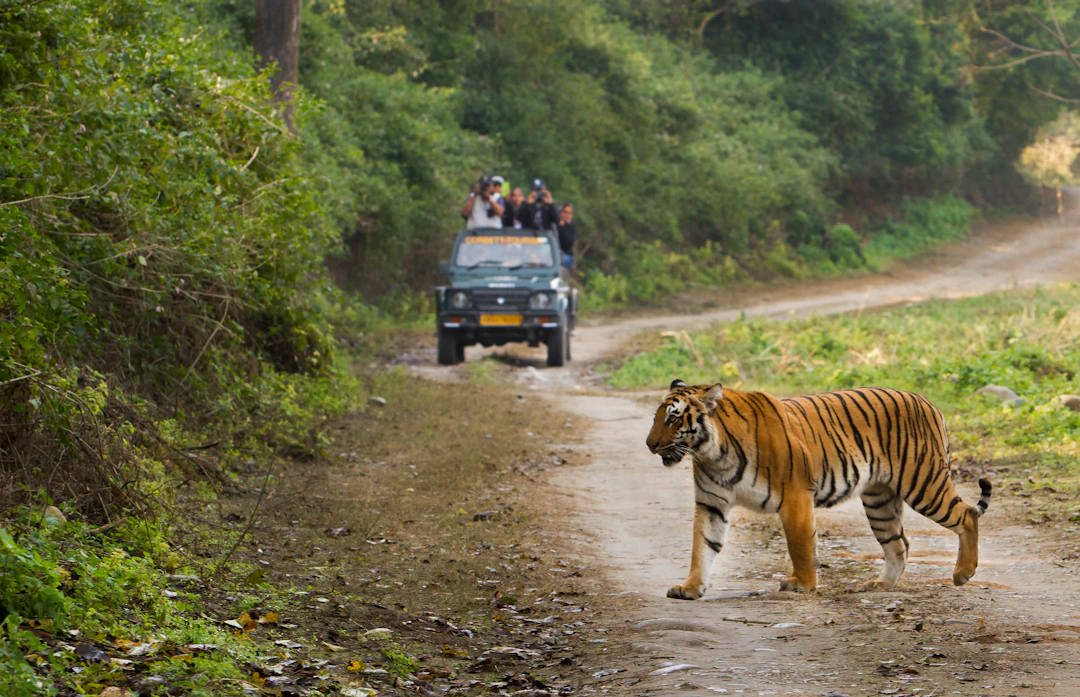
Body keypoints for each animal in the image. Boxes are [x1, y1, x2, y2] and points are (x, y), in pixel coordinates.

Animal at [645, 380, 992, 599]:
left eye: (674, 418)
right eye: (656, 418)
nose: (649, 444)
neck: (712, 453)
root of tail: (928, 402)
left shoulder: (795, 495)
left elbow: (800, 544)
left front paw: (802, 584)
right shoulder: (711, 503)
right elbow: (702, 546)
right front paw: (690, 588)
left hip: (924, 483)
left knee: (967, 515)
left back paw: (963, 573)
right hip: (879, 500)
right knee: (899, 544)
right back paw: (881, 584)